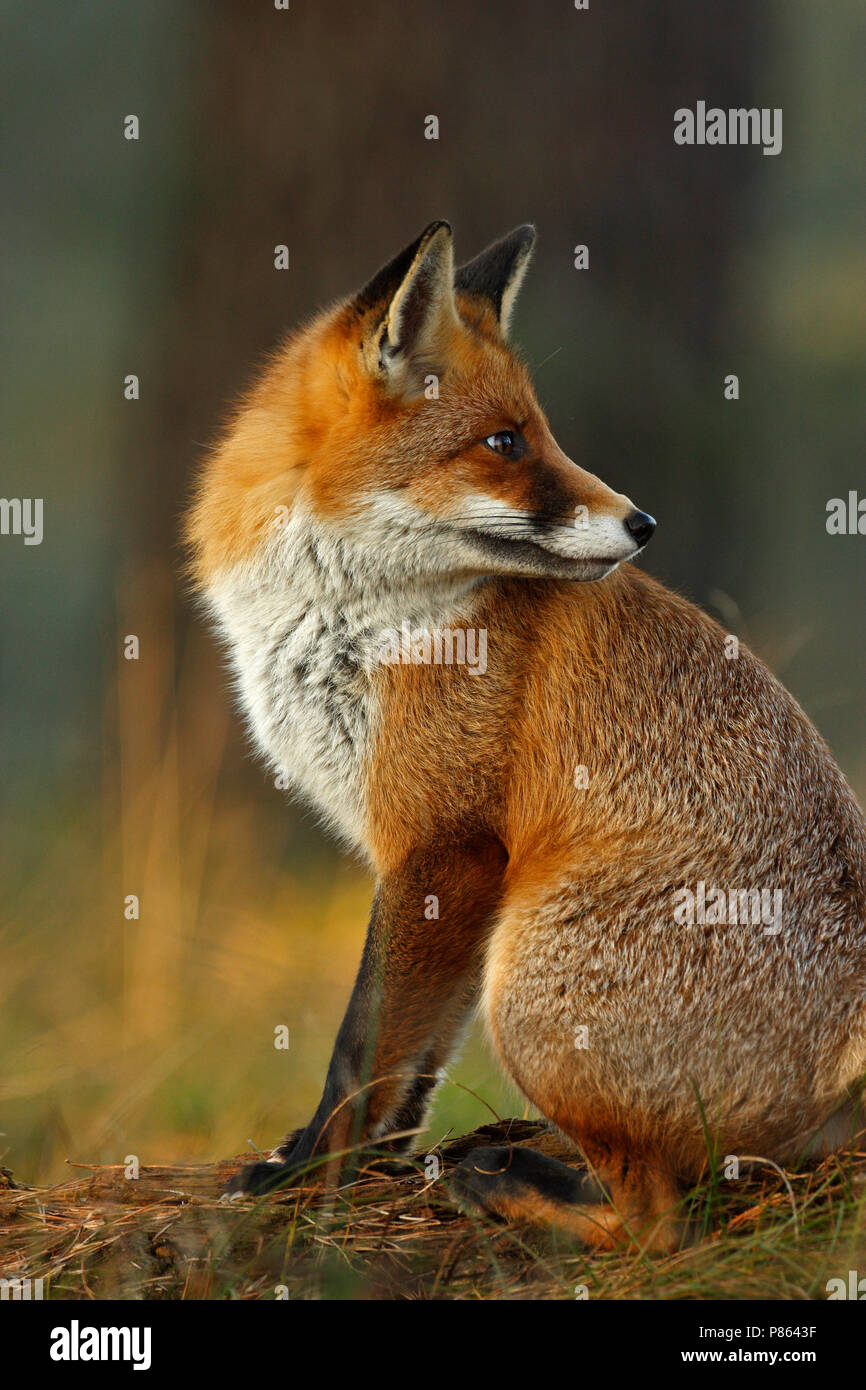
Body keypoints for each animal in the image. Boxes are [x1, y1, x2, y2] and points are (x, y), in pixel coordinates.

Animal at [186, 221, 866, 1252]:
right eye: (503, 443)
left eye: (539, 434)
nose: (644, 522)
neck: (358, 623)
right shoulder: (456, 870)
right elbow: (412, 1063)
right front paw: (373, 1162)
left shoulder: (443, 844)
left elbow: (359, 1046)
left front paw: (308, 1176)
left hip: (532, 994)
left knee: (661, 1224)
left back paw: (507, 1183)